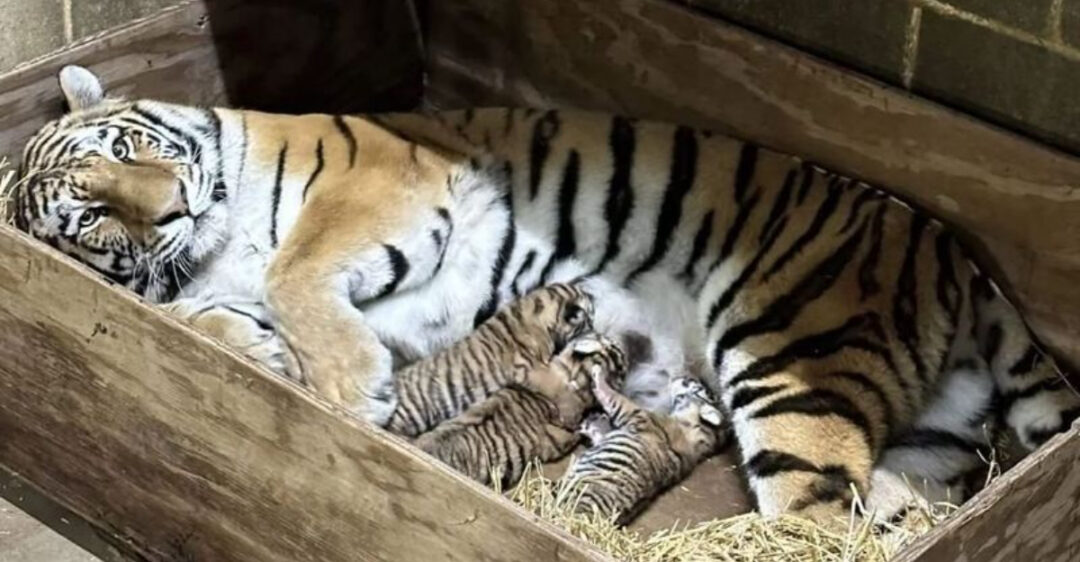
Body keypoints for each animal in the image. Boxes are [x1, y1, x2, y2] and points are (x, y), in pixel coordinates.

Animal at [565, 371, 726, 525]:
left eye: (690, 382)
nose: (684, 375)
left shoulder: (635, 413)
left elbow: (612, 395)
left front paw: (598, 373)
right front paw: (591, 425)